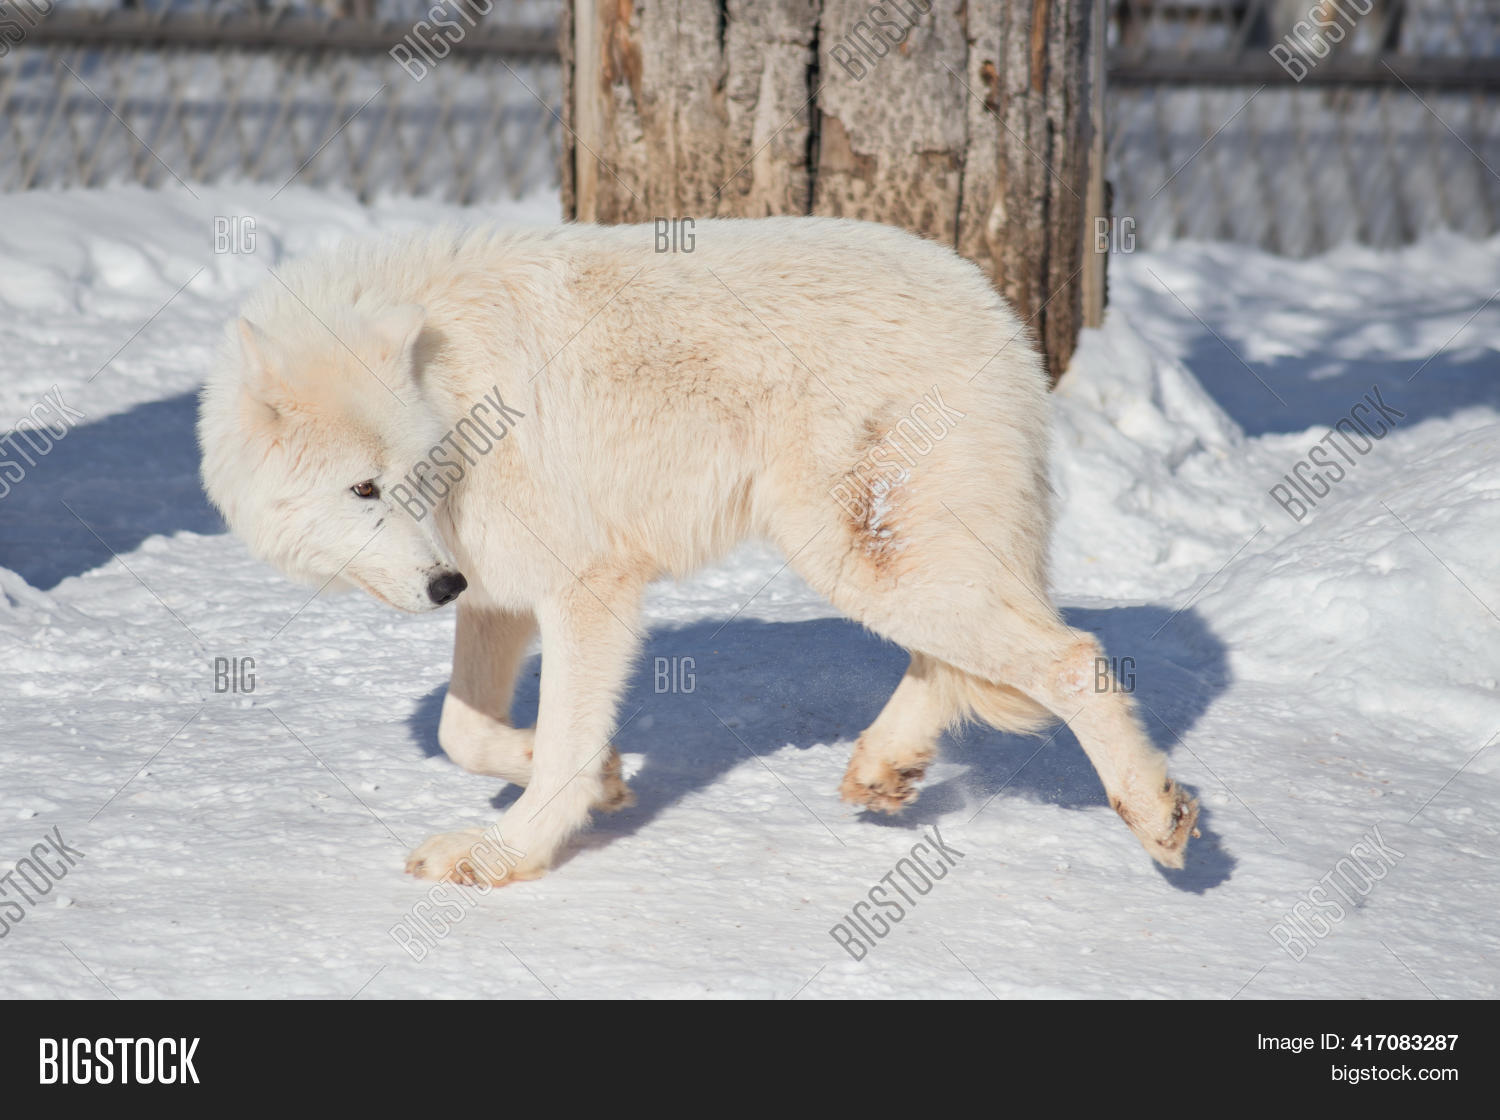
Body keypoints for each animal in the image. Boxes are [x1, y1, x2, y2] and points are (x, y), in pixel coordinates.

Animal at [198, 216, 1199, 885]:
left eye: (415, 476)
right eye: (367, 489)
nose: (440, 582)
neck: (457, 391)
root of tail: (998, 311)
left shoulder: (587, 586)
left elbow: (551, 745)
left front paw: (506, 854)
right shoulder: (498, 596)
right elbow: (465, 733)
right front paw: (602, 781)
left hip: (864, 563)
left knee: (1070, 656)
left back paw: (1156, 816)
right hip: (883, 564)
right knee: (962, 662)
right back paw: (884, 765)